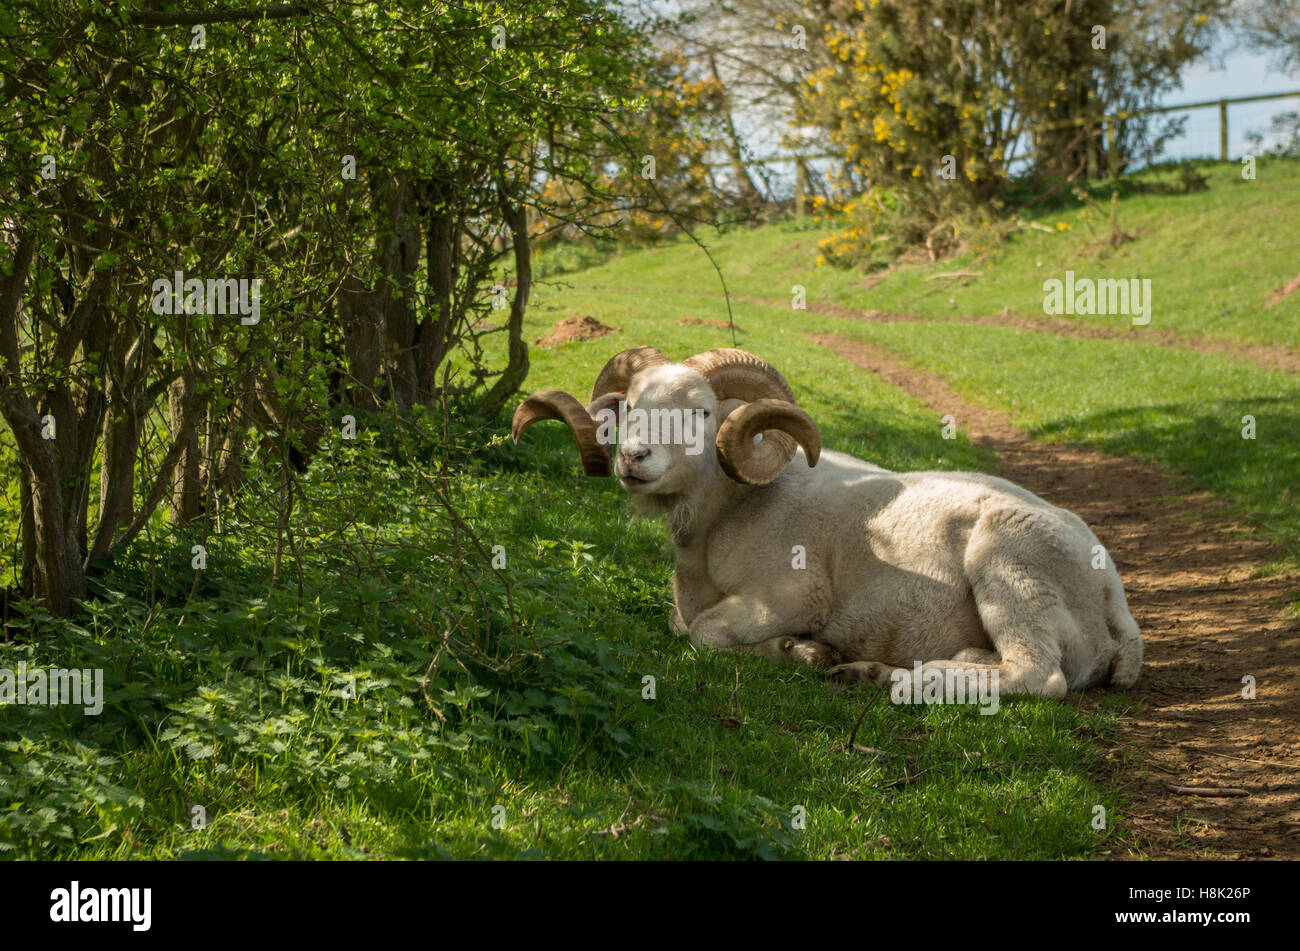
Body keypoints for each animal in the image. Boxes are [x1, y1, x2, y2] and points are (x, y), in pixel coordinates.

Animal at [512, 346, 1143, 698]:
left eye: (701, 411)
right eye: (630, 407)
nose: (632, 459)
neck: (729, 514)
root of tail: (1113, 594)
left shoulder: (794, 594)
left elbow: (704, 633)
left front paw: (801, 651)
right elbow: (680, 623)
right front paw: (807, 654)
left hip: (1009, 561)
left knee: (1039, 676)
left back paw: (903, 681)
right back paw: (888, 669)